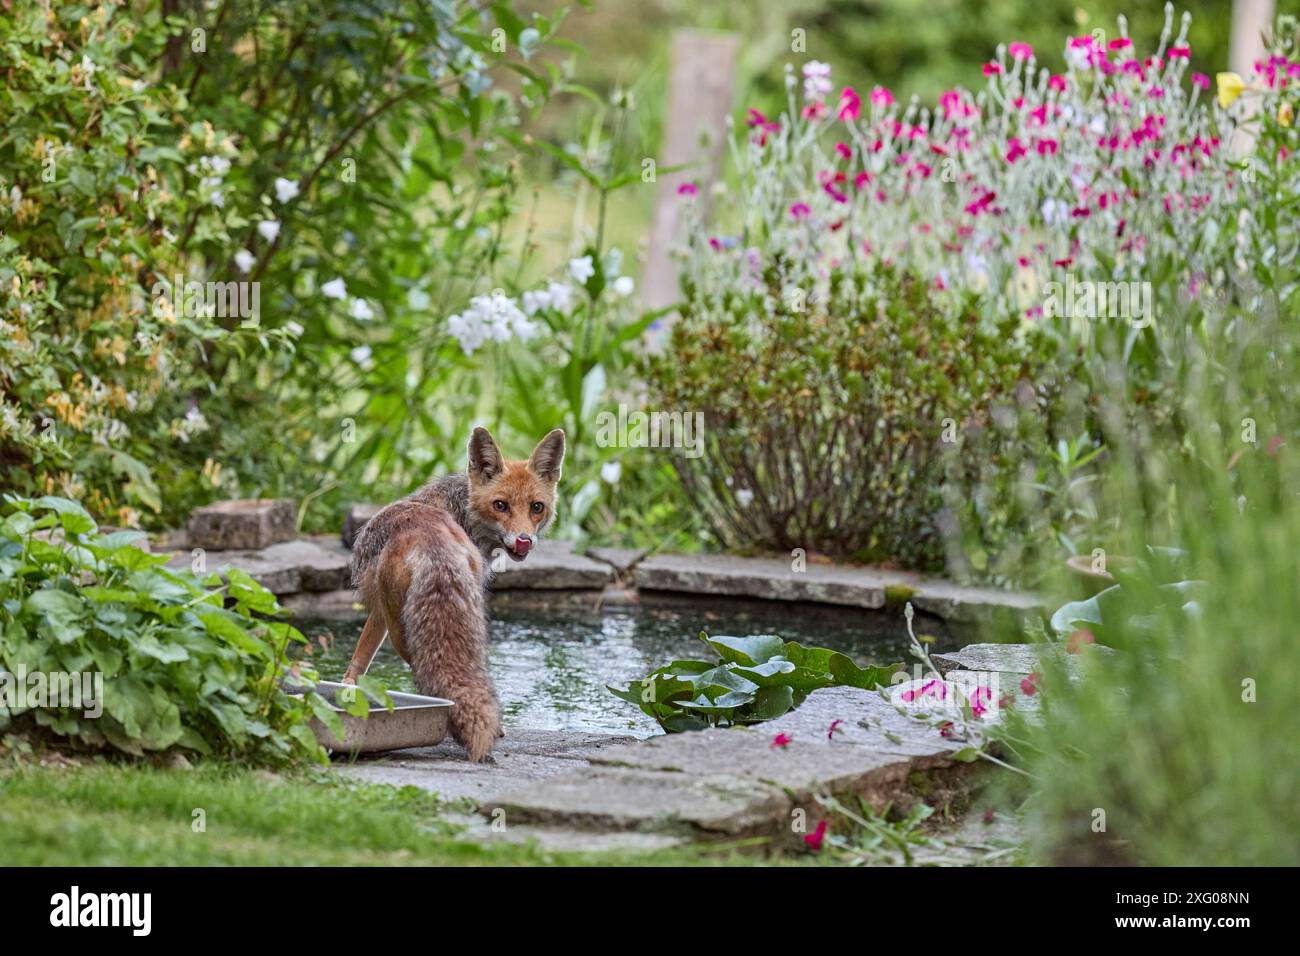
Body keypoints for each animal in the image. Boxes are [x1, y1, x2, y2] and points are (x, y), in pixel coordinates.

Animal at [342, 426, 565, 762]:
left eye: (536, 507)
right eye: (500, 505)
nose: (524, 540)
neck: (462, 513)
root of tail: (430, 542)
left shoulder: (380, 613)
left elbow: (358, 662)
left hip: (407, 627)